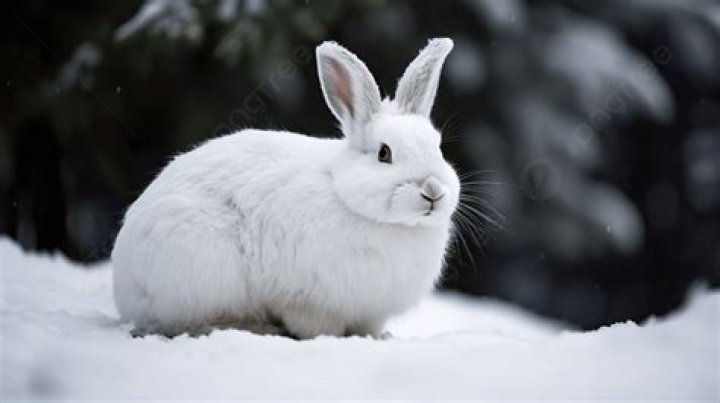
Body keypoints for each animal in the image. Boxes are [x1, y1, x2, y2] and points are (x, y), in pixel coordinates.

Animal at [112, 38, 459, 339]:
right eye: (384, 153)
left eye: (438, 147)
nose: (432, 191)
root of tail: (125, 282)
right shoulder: (307, 300)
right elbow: (313, 324)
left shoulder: (371, 311)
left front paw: (380, 338)